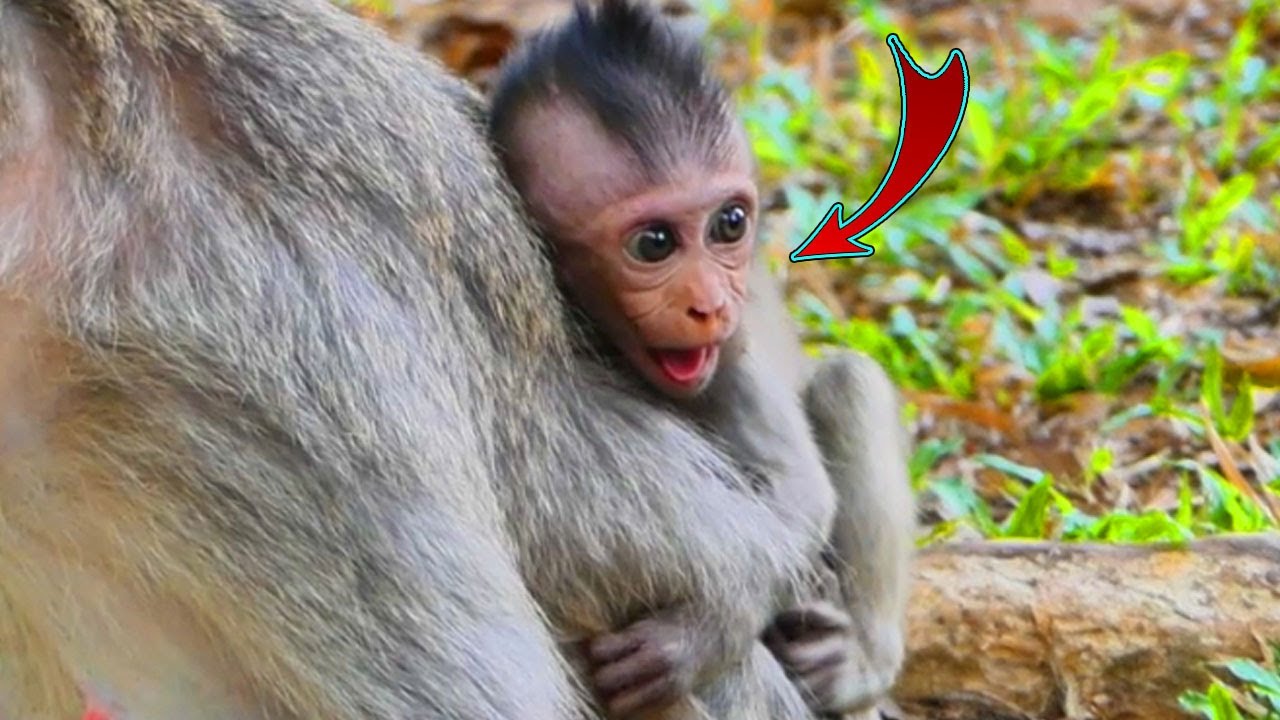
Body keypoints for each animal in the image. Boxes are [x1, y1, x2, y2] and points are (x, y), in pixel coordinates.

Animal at [485, 2, 917, 718]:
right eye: (655, 243)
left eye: (729, 224)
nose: (712, 304)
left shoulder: (733, 358)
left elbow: (800, 492)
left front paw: (706, 627)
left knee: (845, 382)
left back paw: (865, 662)